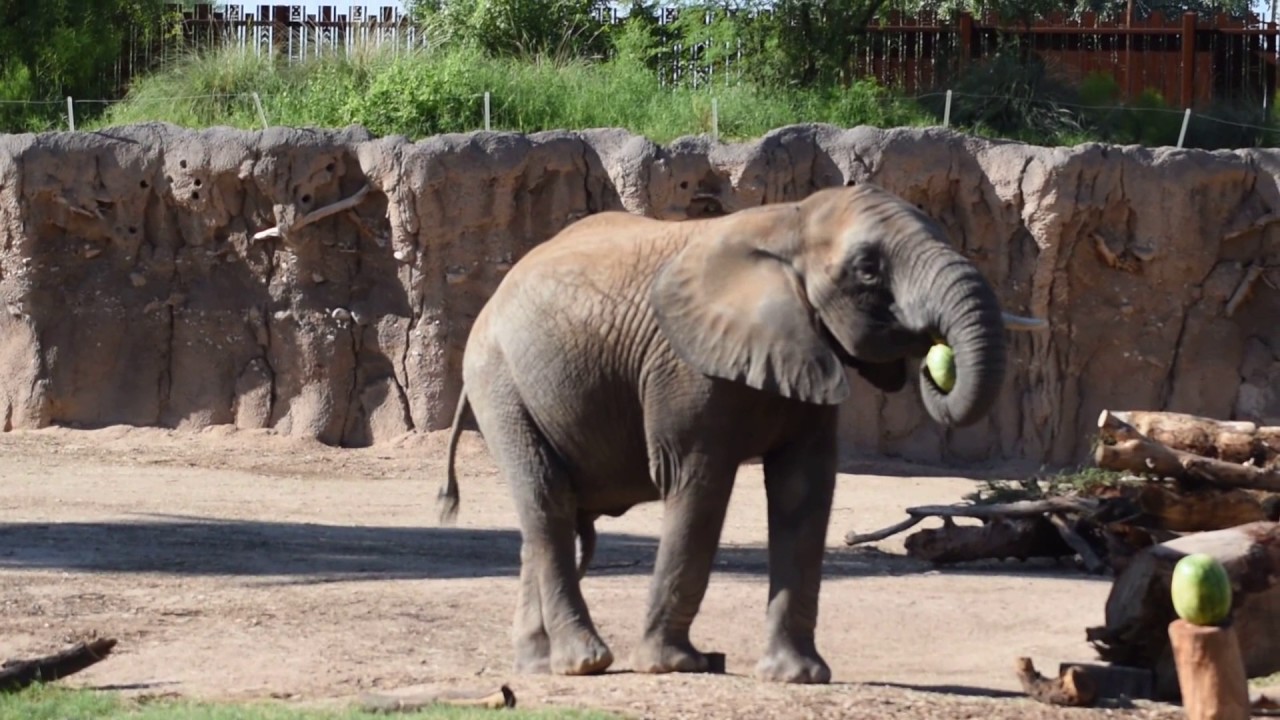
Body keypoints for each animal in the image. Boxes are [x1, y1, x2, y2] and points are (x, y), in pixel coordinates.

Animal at [435, 182, 1043, 684]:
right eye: (868, 269)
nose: (932, 358)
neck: (790, 221)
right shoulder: (685, 367)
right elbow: (698, 487)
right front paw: (678, 665)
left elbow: (805, 492)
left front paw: (798, 676)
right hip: (500, 384)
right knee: (548, 503)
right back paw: (586, 663)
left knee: (547, 521)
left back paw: (538, 665)